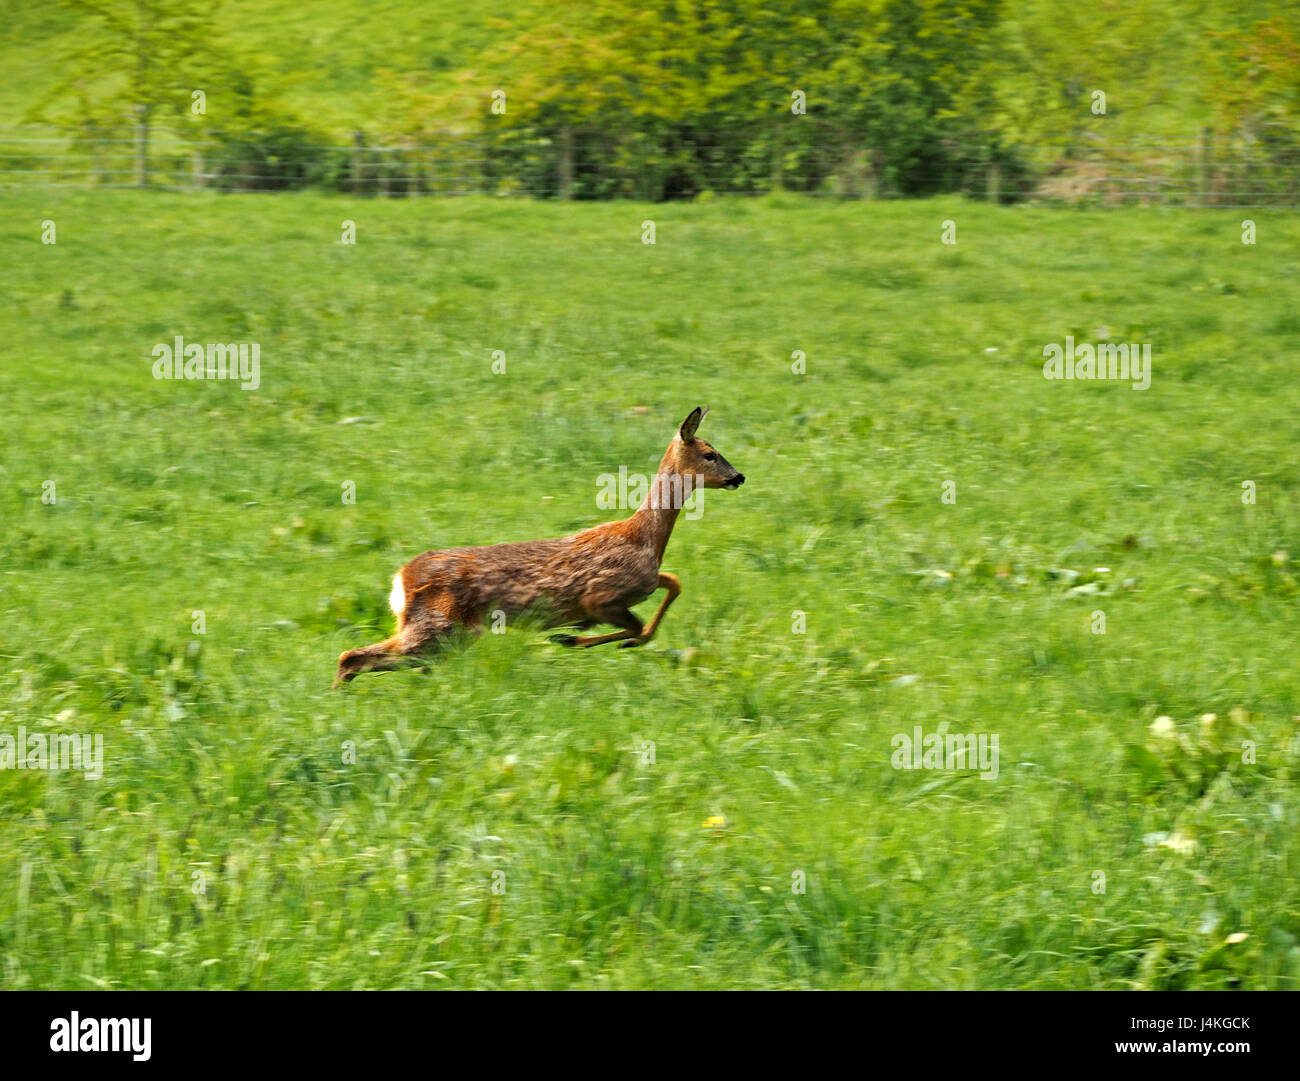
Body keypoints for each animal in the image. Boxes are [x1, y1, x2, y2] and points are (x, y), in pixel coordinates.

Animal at [333, 406, 744, 686]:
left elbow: (672, 584)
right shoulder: (602, 595)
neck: (644, 538)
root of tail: (400, 581)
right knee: (350, 656)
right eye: (709, 454)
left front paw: (574, 638)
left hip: (449, 635)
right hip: (438, 627)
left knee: (373, 659)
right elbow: (640, 627)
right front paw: (573, 638)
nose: (739, 476)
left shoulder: (641, 582)